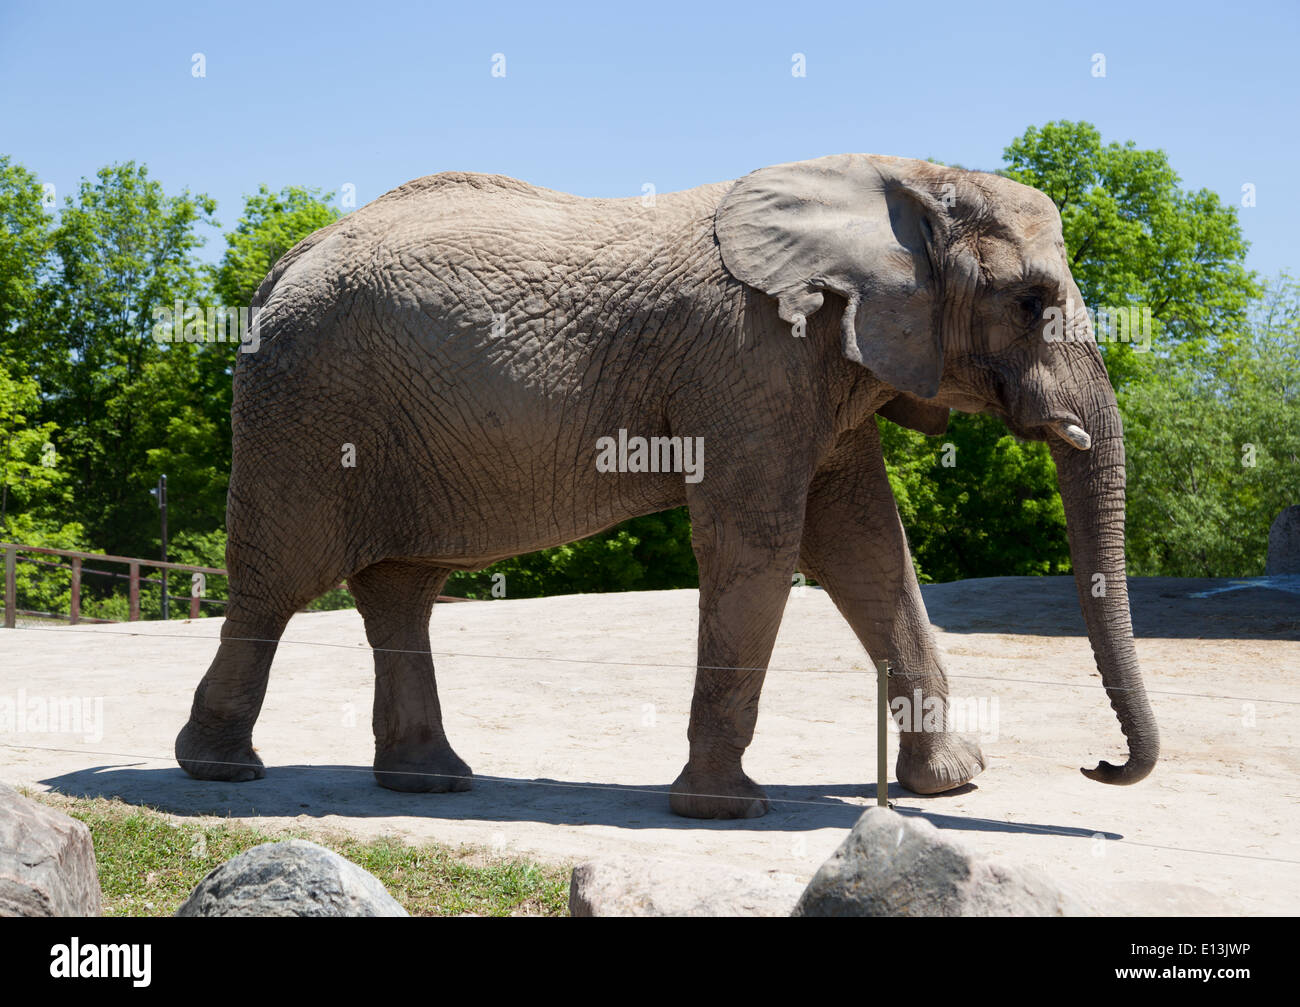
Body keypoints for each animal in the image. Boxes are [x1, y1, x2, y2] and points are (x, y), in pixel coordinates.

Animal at [175, 153, 1159, 819]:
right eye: (1031, 302)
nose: (1098, 767)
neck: (900, 181)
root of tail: (281, 262)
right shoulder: (752, 360)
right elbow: (760, 547)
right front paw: (728, 807)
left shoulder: (826, 375)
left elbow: (868, 549)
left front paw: (951, 785)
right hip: (306, 409)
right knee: (276, 583)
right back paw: (221, 771)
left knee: (402, 588)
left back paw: (432, 780)